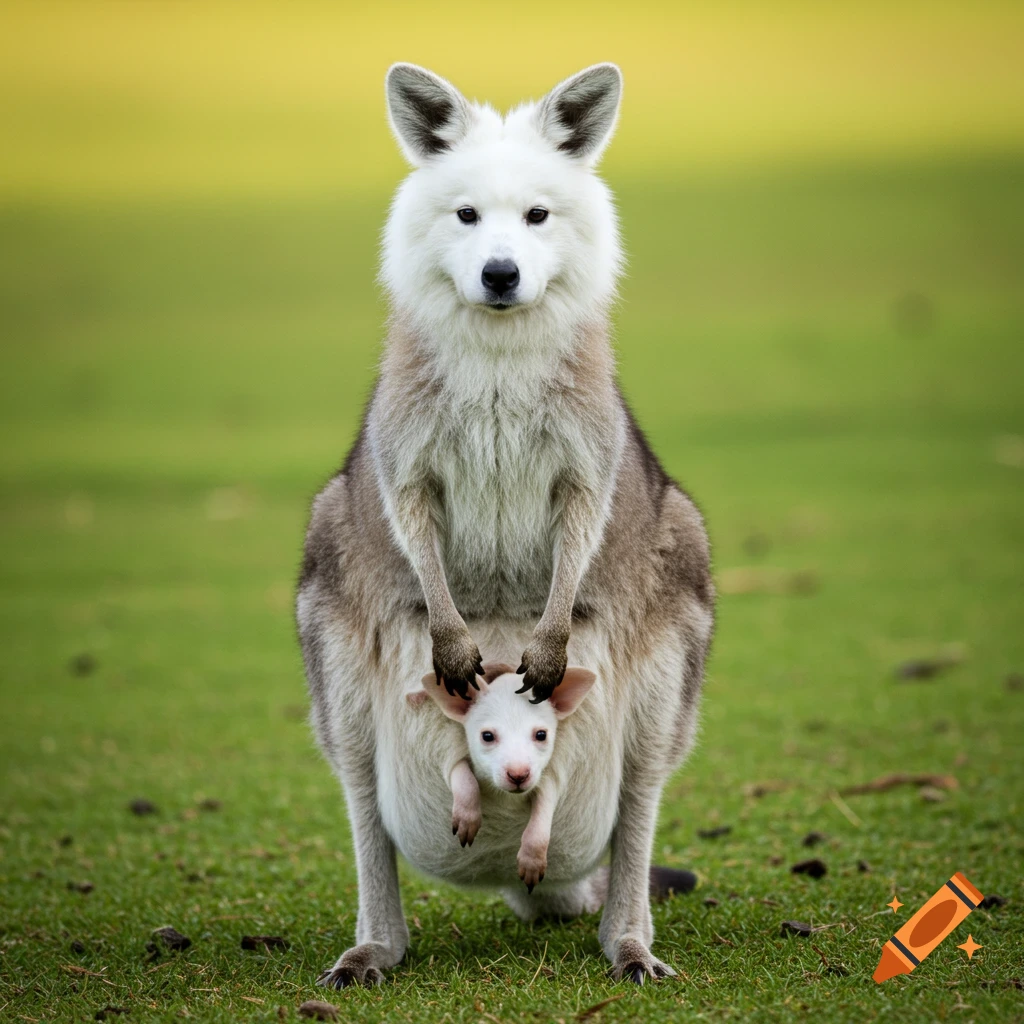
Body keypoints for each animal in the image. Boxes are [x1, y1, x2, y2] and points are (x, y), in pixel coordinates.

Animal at [296, 62, 714, 987]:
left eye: (537, 215)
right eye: (464, 215)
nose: (498, 274)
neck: (495, 350)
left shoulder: (591, 452)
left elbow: (582, 520)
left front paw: (545, 643)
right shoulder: (401, 452)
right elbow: (413, 516)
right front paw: (457, 645)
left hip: (677, 607)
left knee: (638, 808)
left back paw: (631, 948)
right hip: (330, 597)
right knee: (363, 809)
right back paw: (370, 952)